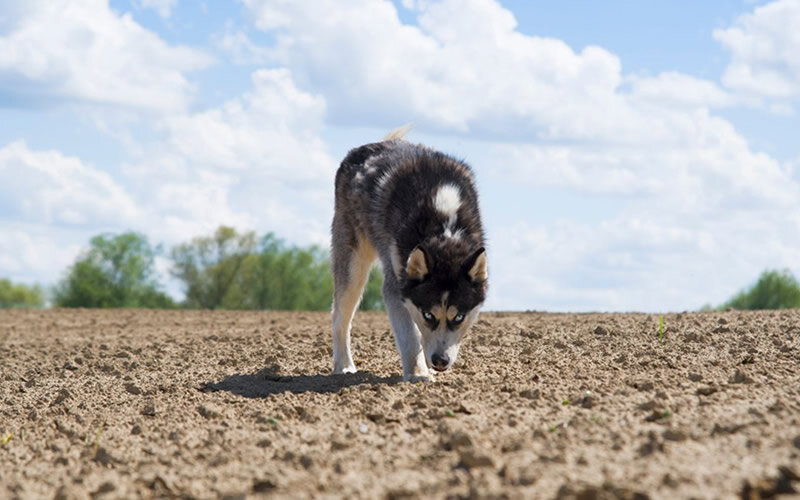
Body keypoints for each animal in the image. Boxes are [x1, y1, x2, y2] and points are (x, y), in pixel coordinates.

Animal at [332, 127, 488, 380]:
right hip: (353, 265)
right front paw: (417, 373)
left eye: (459, 317)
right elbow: (410, 336)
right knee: (340, 318)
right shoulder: (396, 286)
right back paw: (344, 365)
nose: (440, 361)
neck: (442, 225)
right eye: (428, 315)